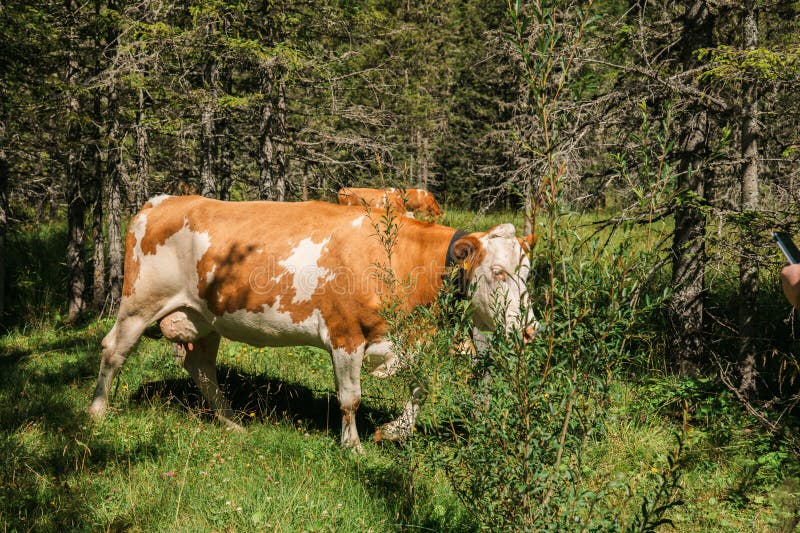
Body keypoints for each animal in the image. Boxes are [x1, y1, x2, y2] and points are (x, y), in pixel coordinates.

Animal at [89, 195, 535, 451]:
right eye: (498, 272)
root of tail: (158, 202)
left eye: (528, 272)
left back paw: (231, 422)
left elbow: (423, 387)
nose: (530, 330)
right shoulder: (345, 334)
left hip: (205, 318)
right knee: (113, 350)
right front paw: (353, 447)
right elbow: (351, 398)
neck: (395, 257)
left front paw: (393, 431)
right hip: (139, 301)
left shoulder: (409, 340)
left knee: (200, 367)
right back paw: (96, 412)